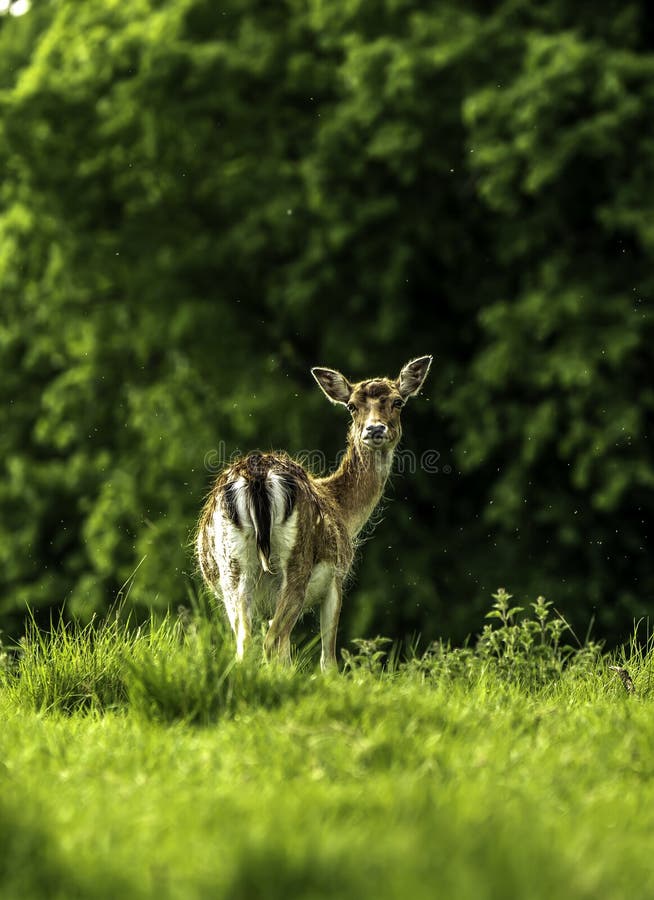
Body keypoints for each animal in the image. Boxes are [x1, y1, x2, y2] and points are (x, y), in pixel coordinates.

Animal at [196, 356, 432, 670]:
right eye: (352, 406)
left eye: (398, 401)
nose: (374, 430)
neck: (342, 509)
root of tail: (257, 476)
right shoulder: (336, 579)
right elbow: (327, 661)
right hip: (297, 561)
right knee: (271, 642)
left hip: (232, 567)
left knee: (246, 645)